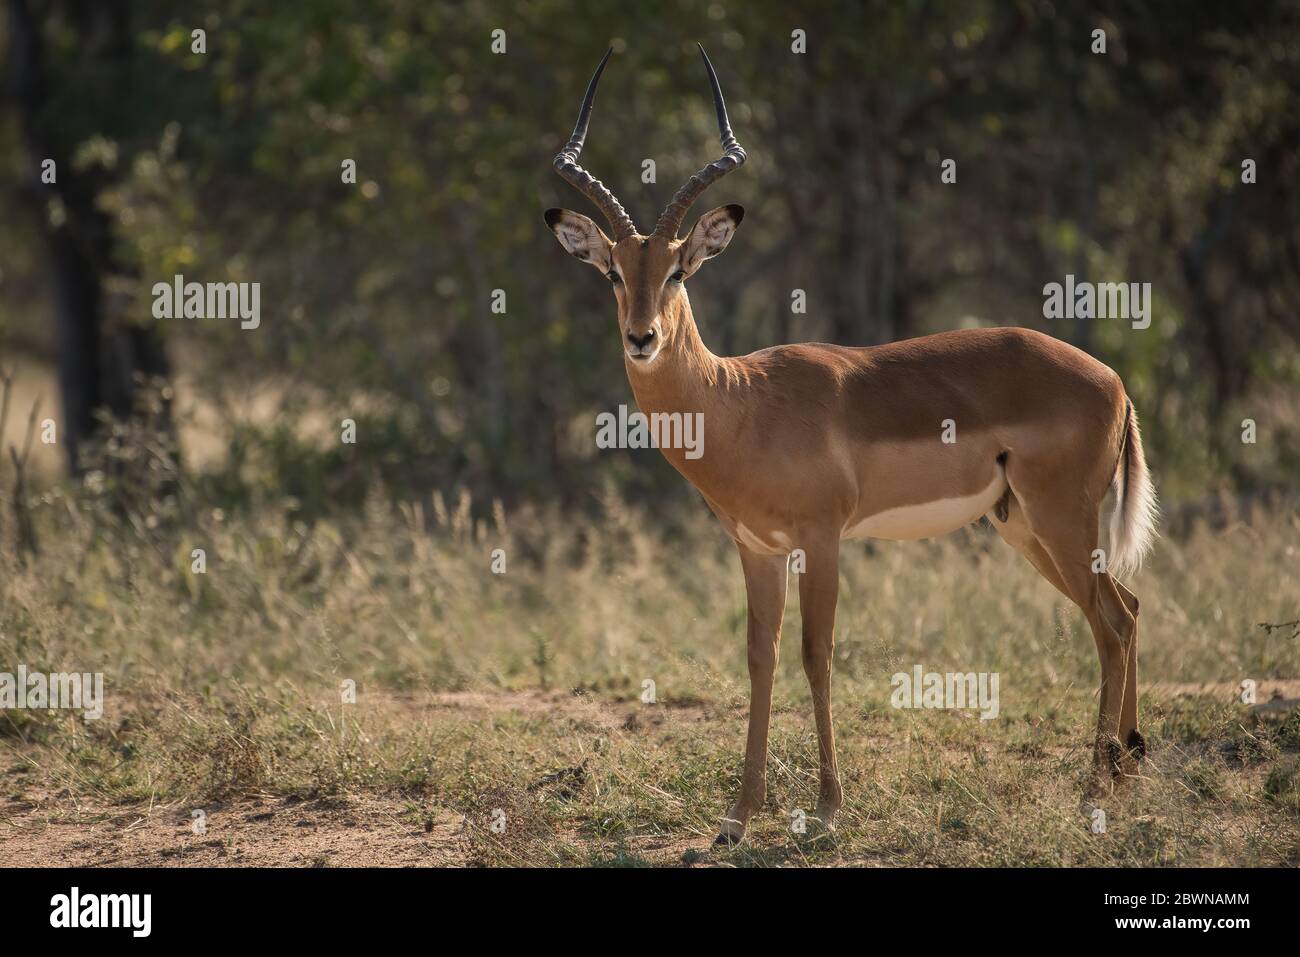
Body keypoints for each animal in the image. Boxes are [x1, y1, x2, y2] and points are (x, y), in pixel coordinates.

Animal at [545, 47, 1159, 846]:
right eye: (615, 272)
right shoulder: (758, 549)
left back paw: (1094, 788)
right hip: (1023, 525)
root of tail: (1114, 379)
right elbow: (761, 658)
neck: (742, 402)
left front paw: (830, 810)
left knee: (1111, 625)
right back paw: (1127, 769)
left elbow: (817, 655)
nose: (641, 337)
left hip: (1060, 519)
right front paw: (737, 817)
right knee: (1130, 606)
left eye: (678, 270)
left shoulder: (822, 538)